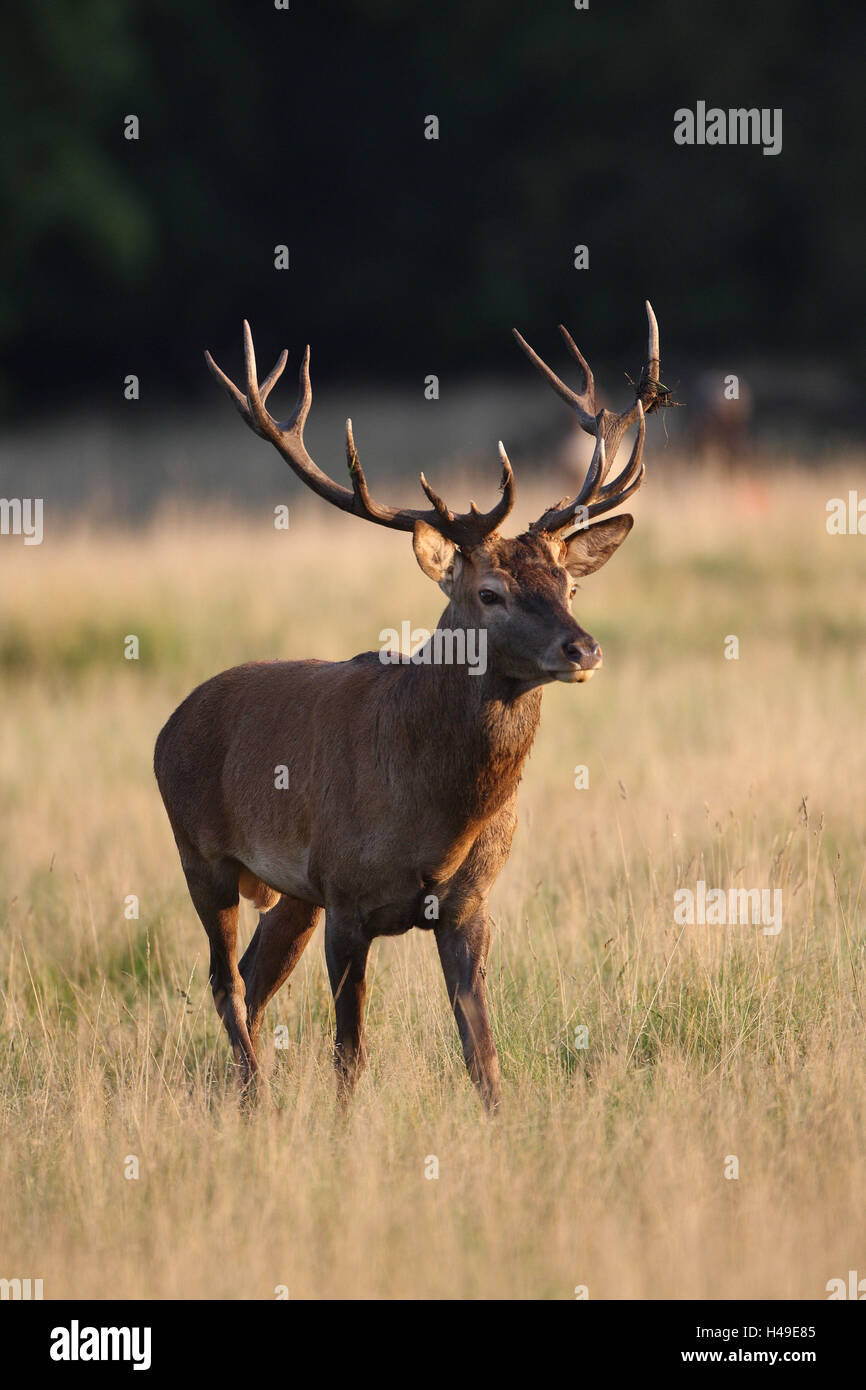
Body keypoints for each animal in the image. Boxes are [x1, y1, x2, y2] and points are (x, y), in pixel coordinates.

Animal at [154, 303, 664, 1112]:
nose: (584, 650)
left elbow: (483, 1056)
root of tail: (168, 725)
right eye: (490, 593)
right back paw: (256, 1100)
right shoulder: (345, 895)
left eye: (570, 584)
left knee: (255, 978)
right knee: (223, 982)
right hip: (200, 854)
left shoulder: (468, 905)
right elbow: (349, 1054)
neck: (436, 820)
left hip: (290, 894)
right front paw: (342, 1128)